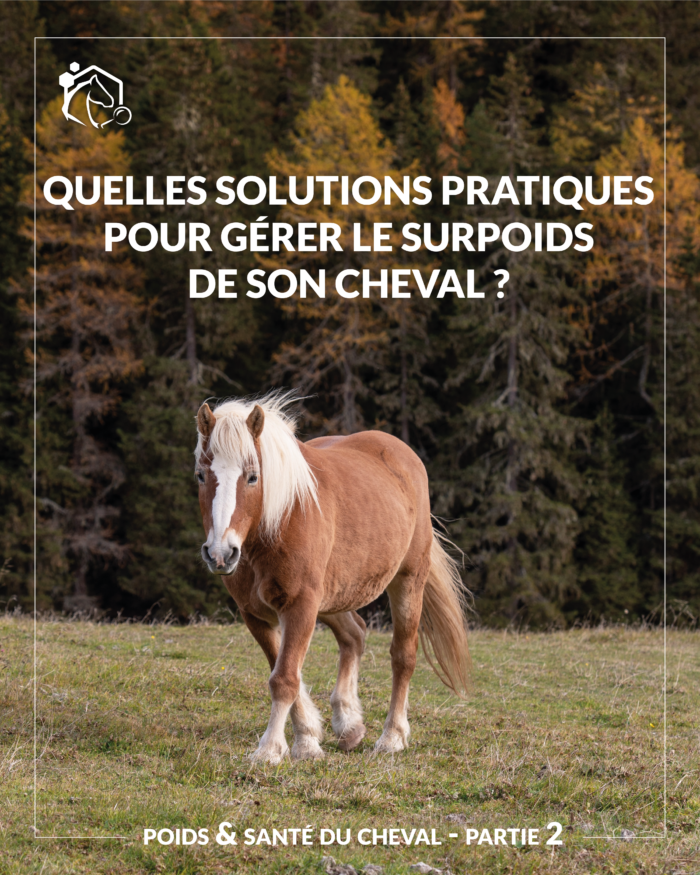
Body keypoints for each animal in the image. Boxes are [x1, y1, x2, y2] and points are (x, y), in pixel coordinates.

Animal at [194, 392, 471, 764]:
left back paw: (392, 736)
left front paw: (270, 749)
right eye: (200, 476)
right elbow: (287, 673)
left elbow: (284, 678)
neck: (281, 519)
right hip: (333, 596)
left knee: (403, 655)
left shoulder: (300, 605)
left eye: (252, 477)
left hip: (407, 581)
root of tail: (403, 454)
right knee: (354, 635)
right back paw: (349, 723)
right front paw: (308, 739)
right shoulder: (256, 615)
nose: (220, 553)